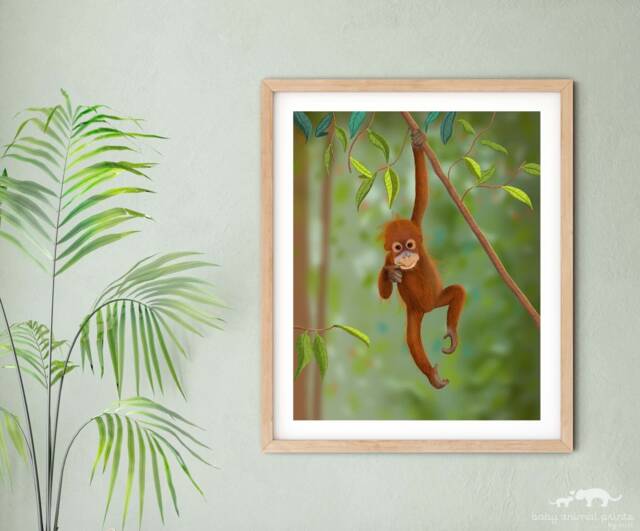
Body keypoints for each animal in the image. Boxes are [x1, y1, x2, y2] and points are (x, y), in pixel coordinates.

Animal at [377, 129, 466, 389]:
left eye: (409, 244)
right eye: (397, 248)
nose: (405, 254)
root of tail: (427, 308)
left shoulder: (416, 226)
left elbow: (423, 193)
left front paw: (417, 145)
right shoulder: (387, 257)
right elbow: (384, 293)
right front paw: (391, 274)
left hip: (437, 298)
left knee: (457, 292)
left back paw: (452, 332)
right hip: (414, 312)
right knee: (412, 342)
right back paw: (431, 374)